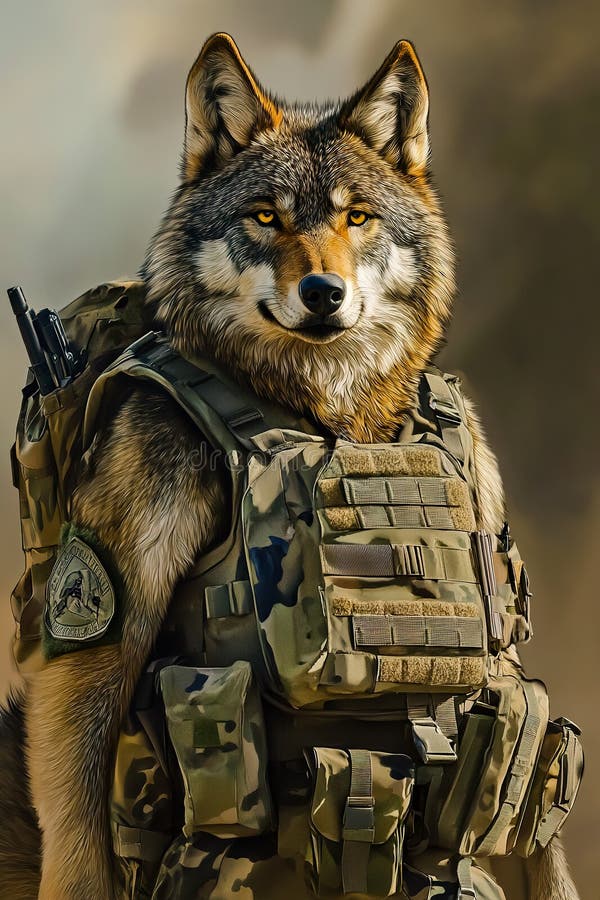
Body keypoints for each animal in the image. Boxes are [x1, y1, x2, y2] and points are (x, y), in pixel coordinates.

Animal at [0, 32, 580, 899]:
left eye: (357, 217)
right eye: (266, 217)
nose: (323, 292)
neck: (331, 410)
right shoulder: (101, 631)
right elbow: (76, 790)